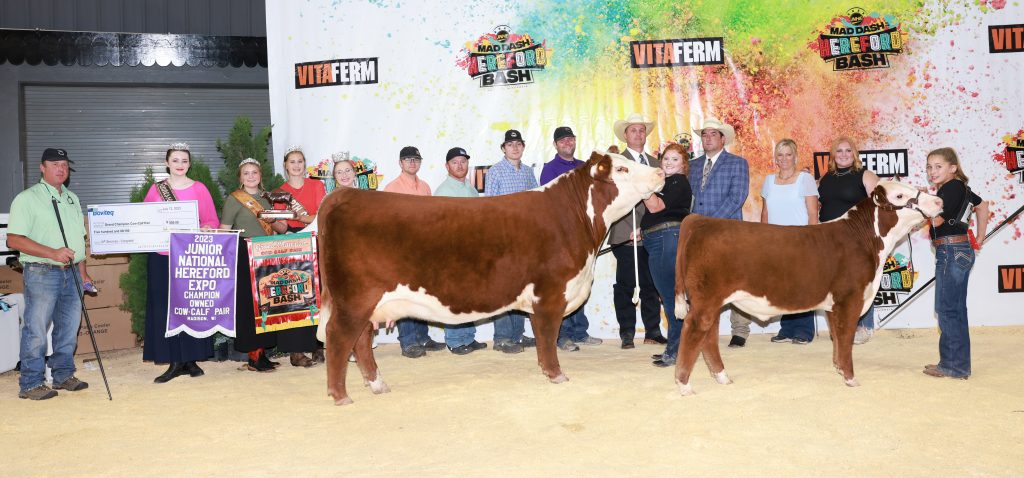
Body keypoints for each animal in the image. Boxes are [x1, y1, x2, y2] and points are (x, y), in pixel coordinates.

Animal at [315, 151, 665, 405]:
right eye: (622, 169)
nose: (661, 173)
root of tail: (344, 195)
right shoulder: (550, 293)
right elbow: (547, 337)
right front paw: (555, 374)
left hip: (365, 304)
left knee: (360, 340)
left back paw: (377, 384)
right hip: (354, 299)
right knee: (338, 338)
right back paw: (340, 395)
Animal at [671, 181, 943, 396]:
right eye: (899, 196)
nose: (938, 200)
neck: (864, 240)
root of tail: (703, 220)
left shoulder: (834, 304)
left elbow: (837, 338)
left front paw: (839, 369)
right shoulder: (850, 298)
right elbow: (846, 337)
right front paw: (851, 379)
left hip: (713, 301)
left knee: (709, 336)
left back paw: (722, 377)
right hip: (706, 300)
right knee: (693, 330)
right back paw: (684, 385)